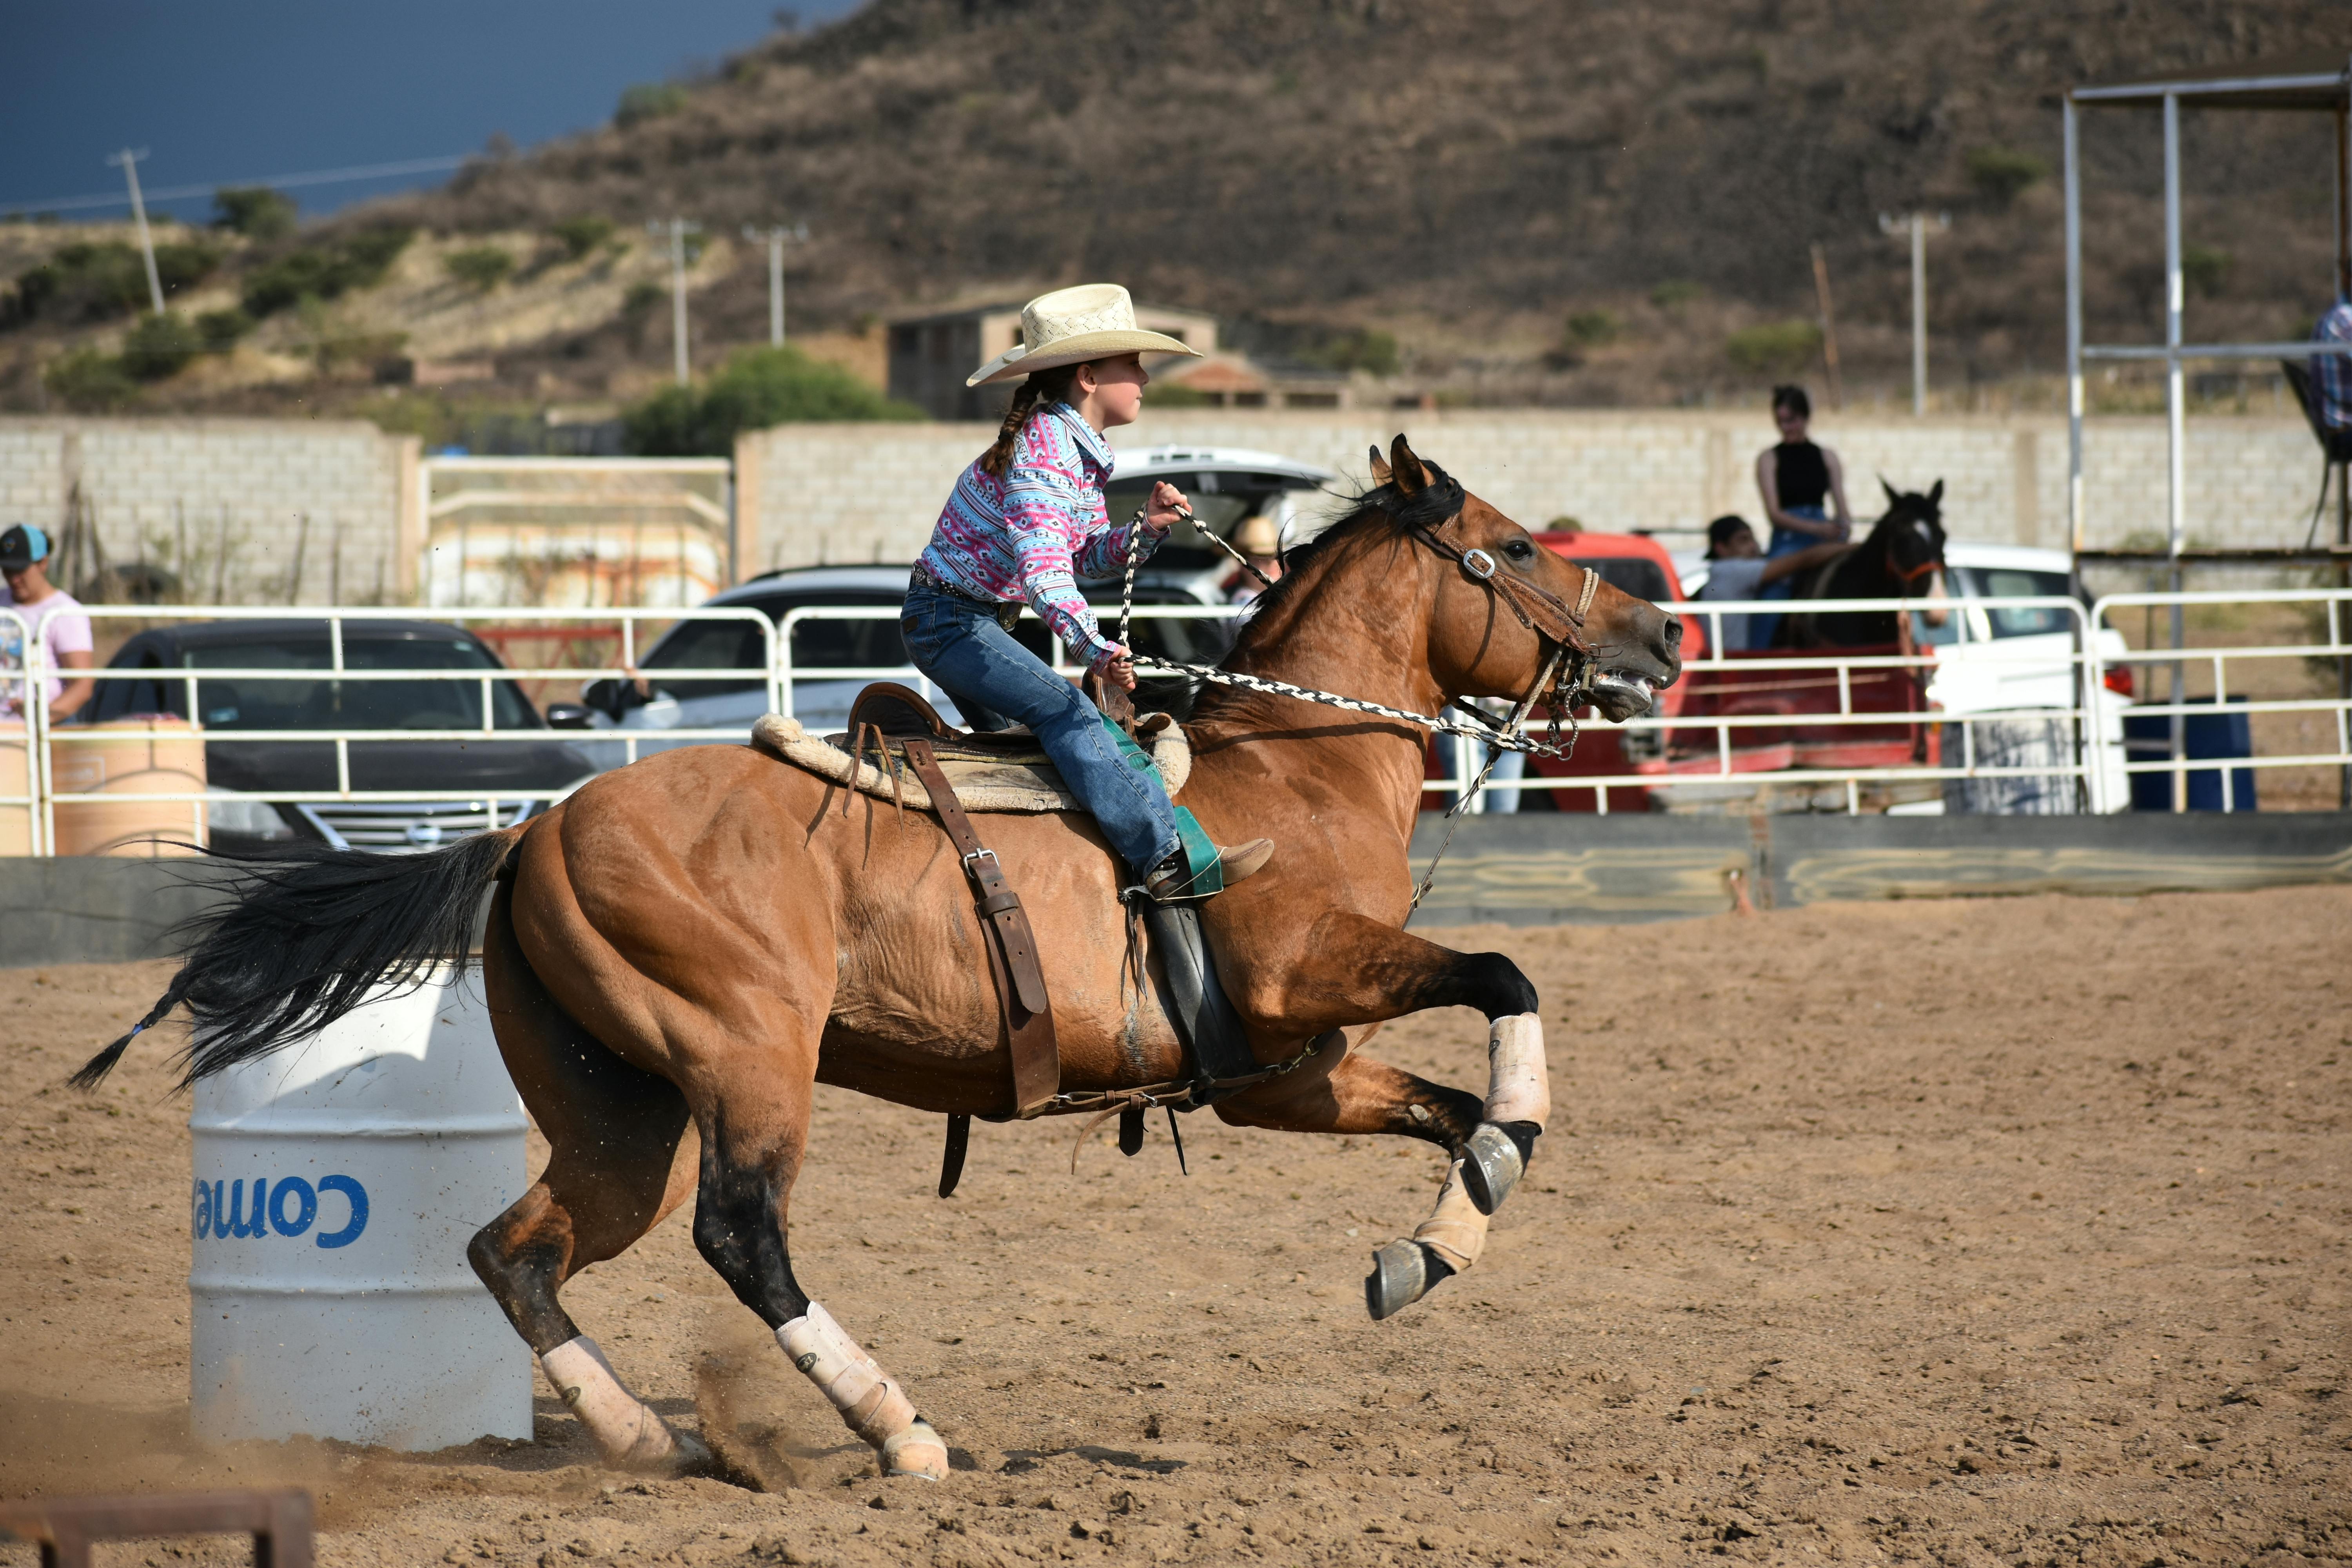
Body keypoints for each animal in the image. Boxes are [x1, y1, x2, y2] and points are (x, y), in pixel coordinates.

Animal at [73, 435, 1682, 1482]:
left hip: (616, 1105)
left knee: (518, 1247)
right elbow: (1506, 978)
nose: (1662, 636)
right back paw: (894, 1426)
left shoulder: (1280, 1071)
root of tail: (535, 827)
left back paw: (646, 1434)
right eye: (1517, 547)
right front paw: (1483, 1177)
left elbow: (1451, 1109)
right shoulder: (1303, 980)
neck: (1291, 767)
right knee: (740, 1235)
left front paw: (1431, 1245)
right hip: (744, 1059)